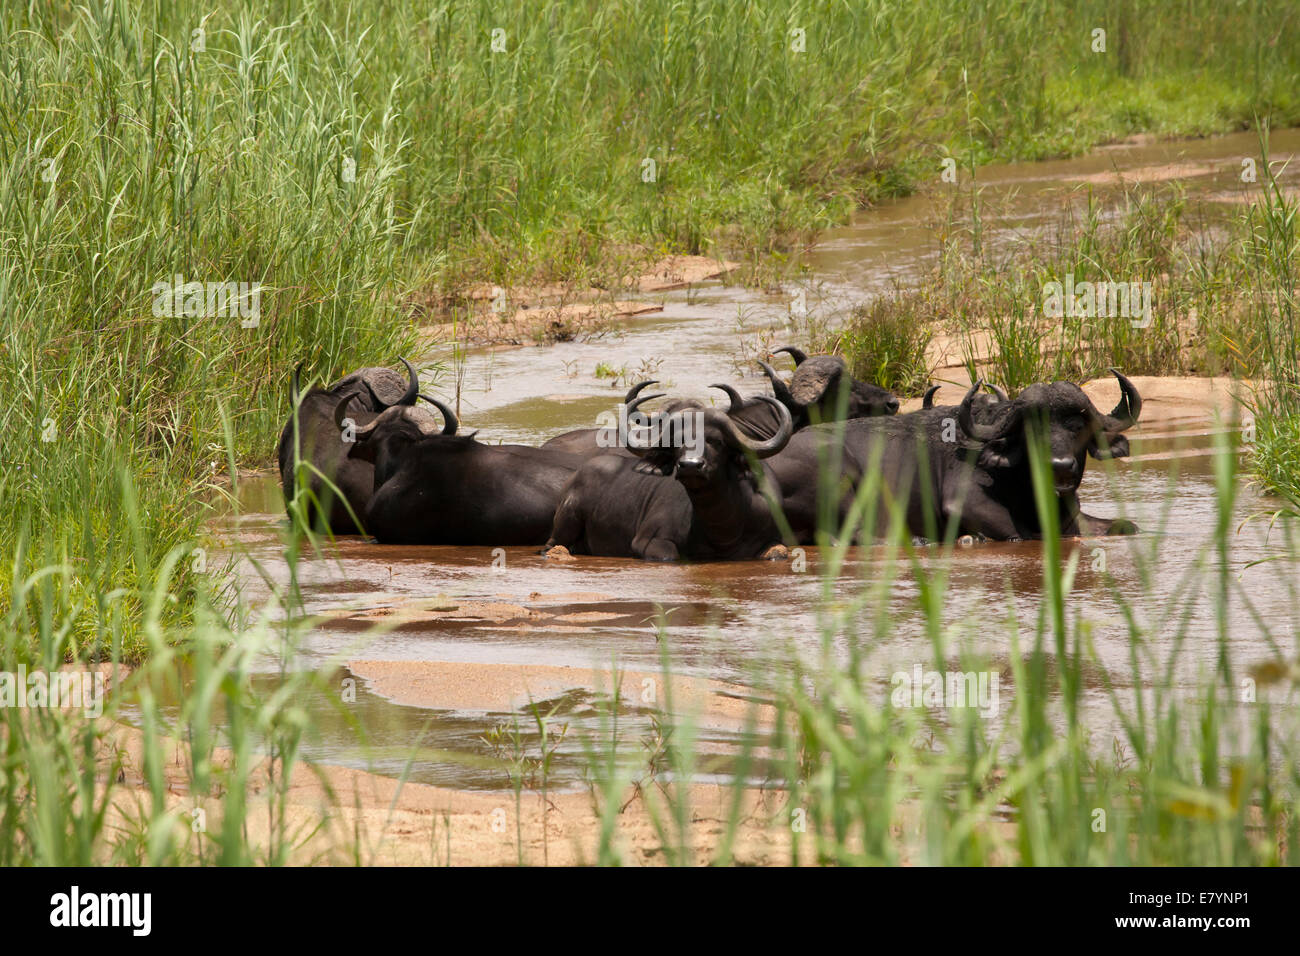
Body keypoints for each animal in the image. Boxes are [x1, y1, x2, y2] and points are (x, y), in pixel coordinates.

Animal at [543, 392, 794, 561]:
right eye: (677, 442)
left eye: (716, 441)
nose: (690, 466)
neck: (723, 530)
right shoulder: (648, 541)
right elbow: (669, 555)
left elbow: (778, 553)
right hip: (565, 522)